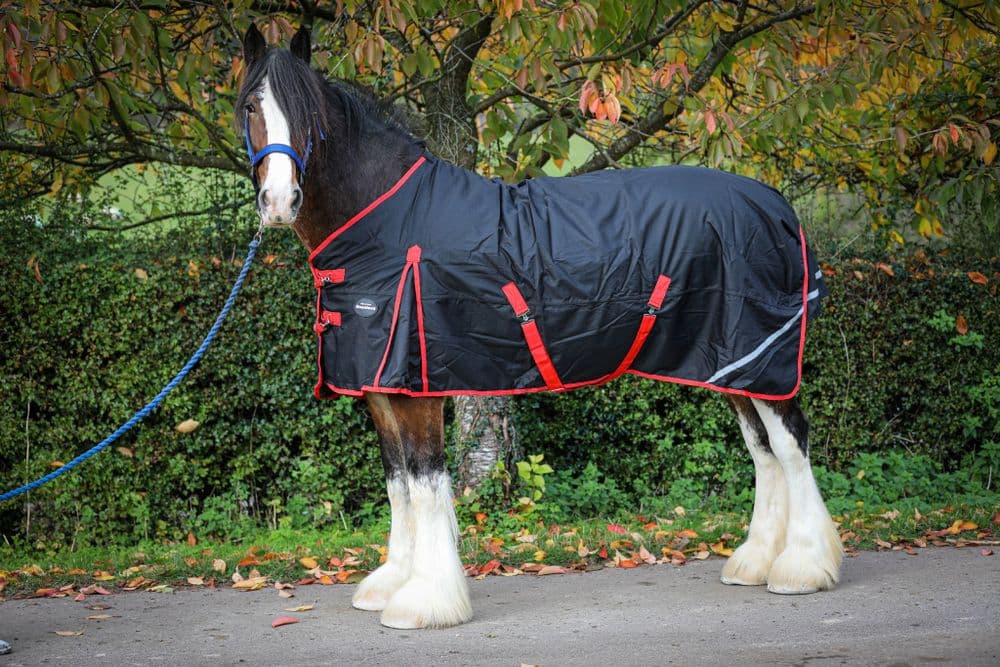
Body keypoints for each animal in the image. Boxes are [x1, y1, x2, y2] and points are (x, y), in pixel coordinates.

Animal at [236, 24, 843, 629]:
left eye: (309, 116)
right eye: (249, 108)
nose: (279, 201)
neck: (386, 222)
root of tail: (775, 205)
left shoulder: (417, 388)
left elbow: (426, 484)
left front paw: (426, 600)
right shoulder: (378, 387)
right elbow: (398, 484)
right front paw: (390, 583)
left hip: (762, 357)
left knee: (789, 444)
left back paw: (802, 568)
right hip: (730, 364)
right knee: (762, 449)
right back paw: (756, 562)